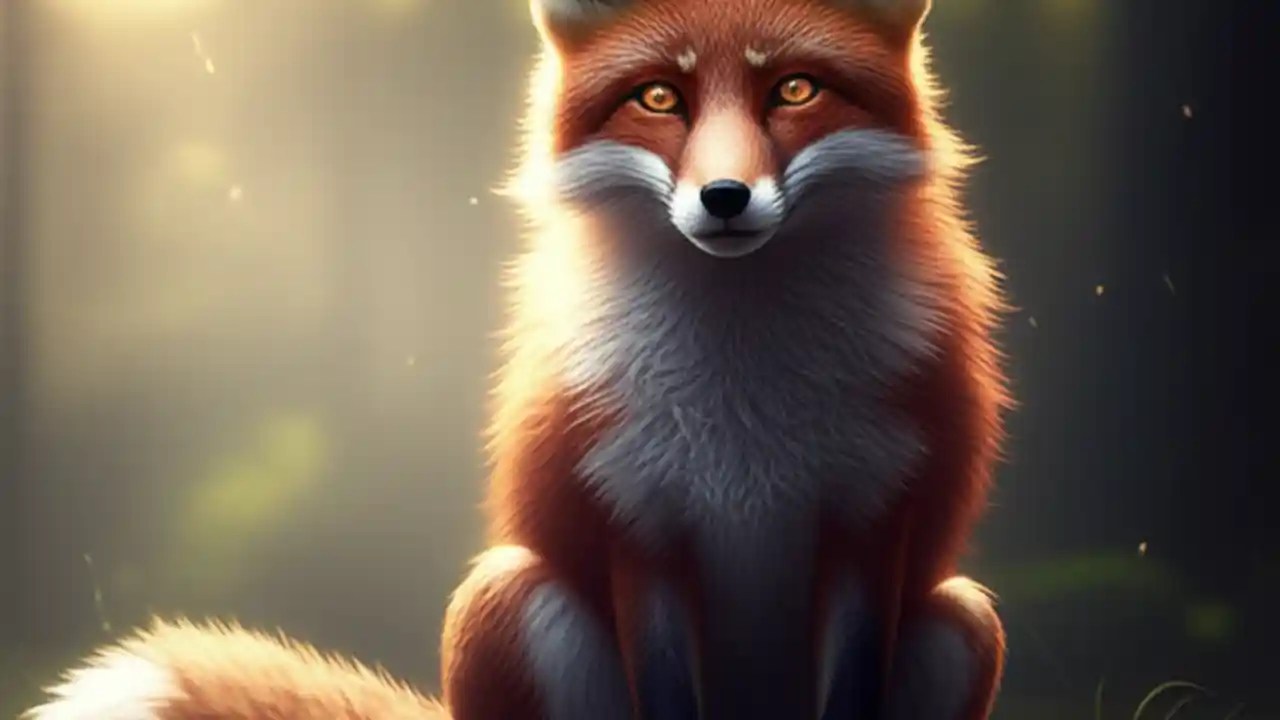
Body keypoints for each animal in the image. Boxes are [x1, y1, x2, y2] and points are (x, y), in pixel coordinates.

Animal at [23, 0, 1009, 718]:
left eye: (795, 89)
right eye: (660, 98)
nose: (725, 198)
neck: (747, 408)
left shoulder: (873, 519)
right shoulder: (637, 523)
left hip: (964, 618)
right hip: (503, 597)